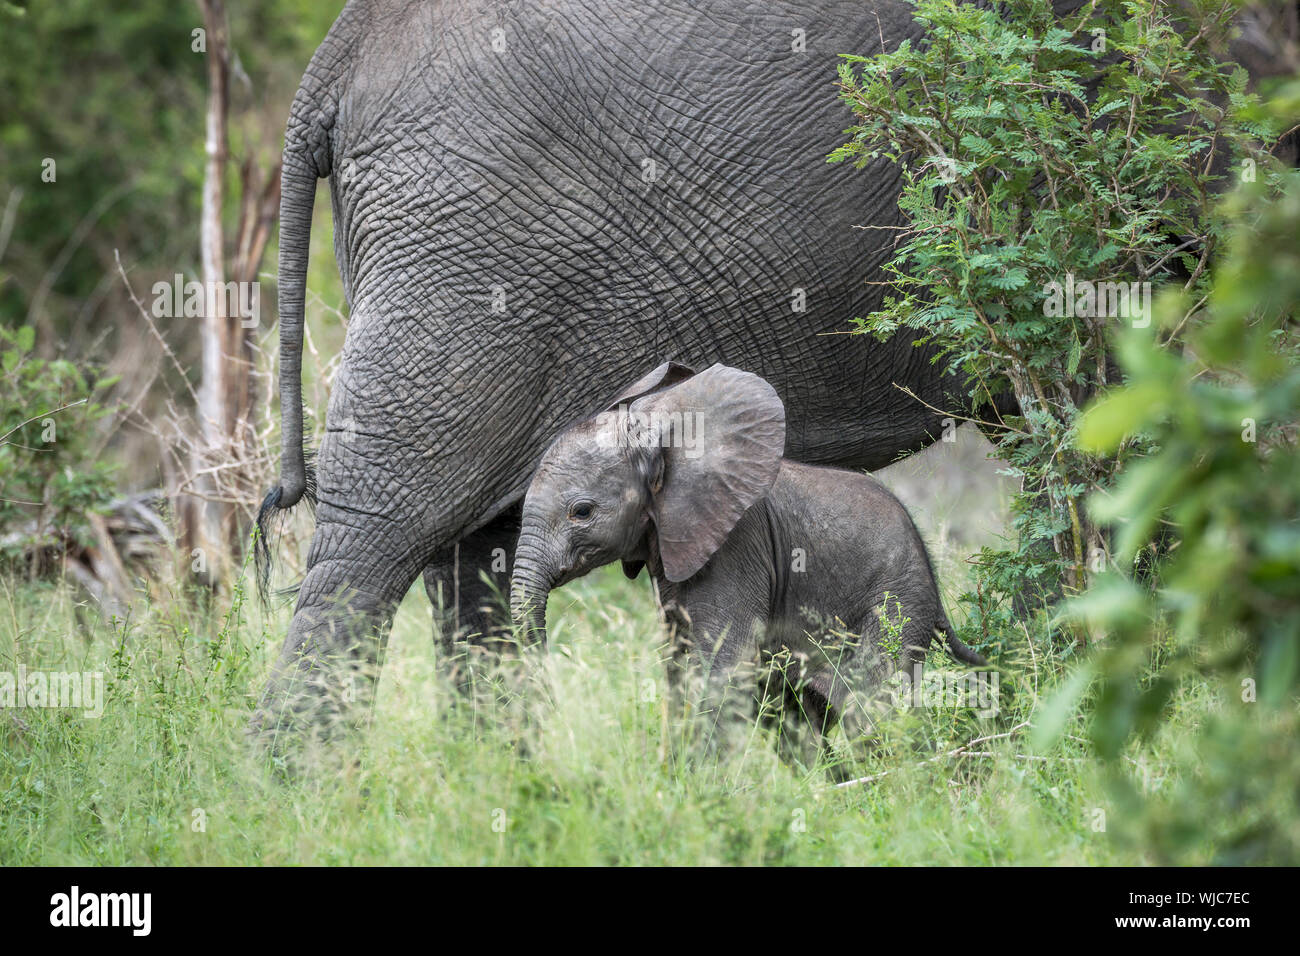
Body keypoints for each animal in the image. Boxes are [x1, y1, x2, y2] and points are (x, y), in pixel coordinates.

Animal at [509, 362, 988, 760]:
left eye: (582, 512)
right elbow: (681, 668)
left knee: (873, 709)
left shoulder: (737, 545)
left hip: (897, 603)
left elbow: (720, 670)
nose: (551, 717)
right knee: (797, 721)